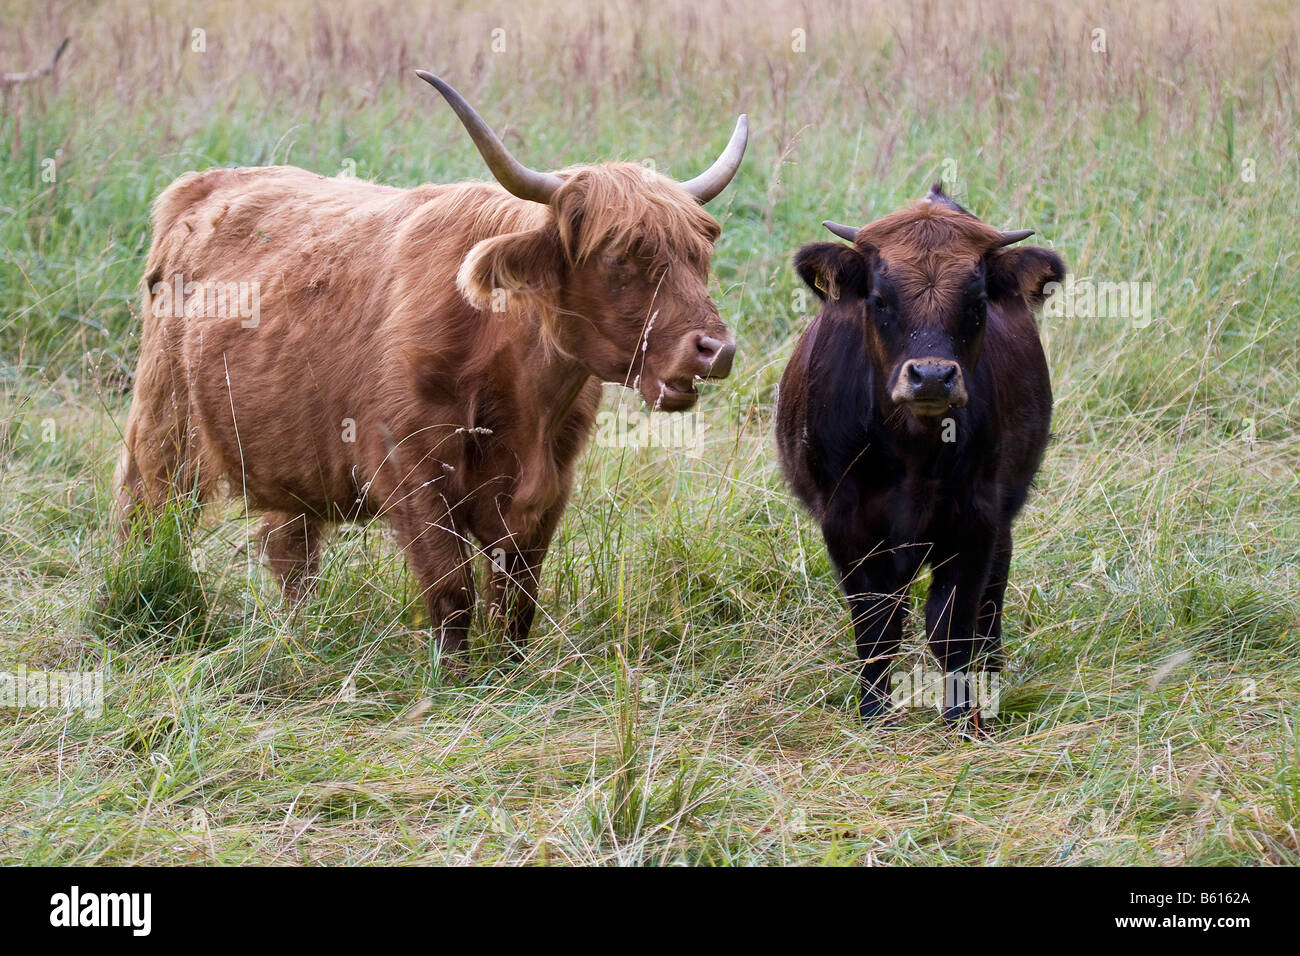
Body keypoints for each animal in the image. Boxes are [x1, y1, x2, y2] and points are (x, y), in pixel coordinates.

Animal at [115, 72, 747, 659]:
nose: (716, 349)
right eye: (621, 255)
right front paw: (455, 676)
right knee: (147, 510)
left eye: (700, 254)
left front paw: (511, 669)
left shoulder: (550, 486)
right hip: (165, 416)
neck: (521, 391)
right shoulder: (410, 467)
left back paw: (302, 632)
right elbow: (452, 588)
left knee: (288, 544)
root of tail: (204, 185)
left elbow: (518, 595)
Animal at [775, 183, 1064, 732]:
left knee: (991, 598)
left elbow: (951, 625)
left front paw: (964, 719)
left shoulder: (975, 520)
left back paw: (992, 672)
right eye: (880, 299)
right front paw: (874, 715)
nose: (931, 376)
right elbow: (876, 623)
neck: (911, 448)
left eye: (976, 302)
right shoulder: (846, 523)